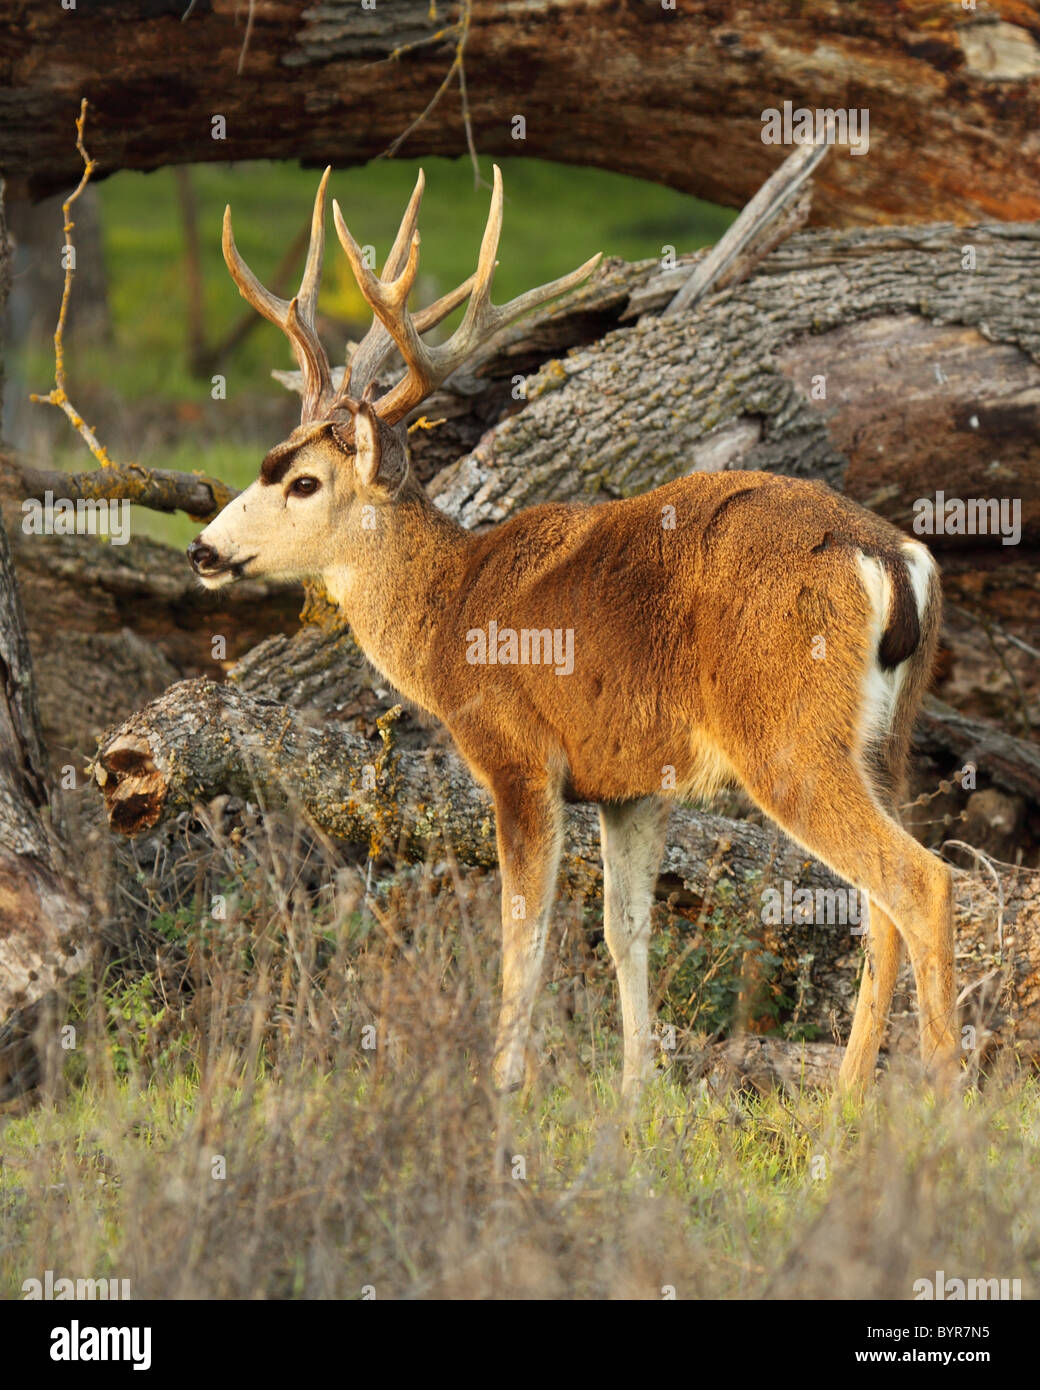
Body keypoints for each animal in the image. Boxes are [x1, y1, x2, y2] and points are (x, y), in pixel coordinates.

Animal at [188, 167, 957, 1100]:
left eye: (302, 481)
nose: (202, 549)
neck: (450, 610)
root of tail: (890, 558)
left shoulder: (517, 753)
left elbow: (524, 934)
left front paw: (501, 1090)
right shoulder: (633, 781)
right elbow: (627, 929)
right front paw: (635, 1095)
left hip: (787, 734)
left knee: (921, 881)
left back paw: (942, 1101)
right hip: (887, 740)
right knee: (881, 903)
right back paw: (846, 1102)